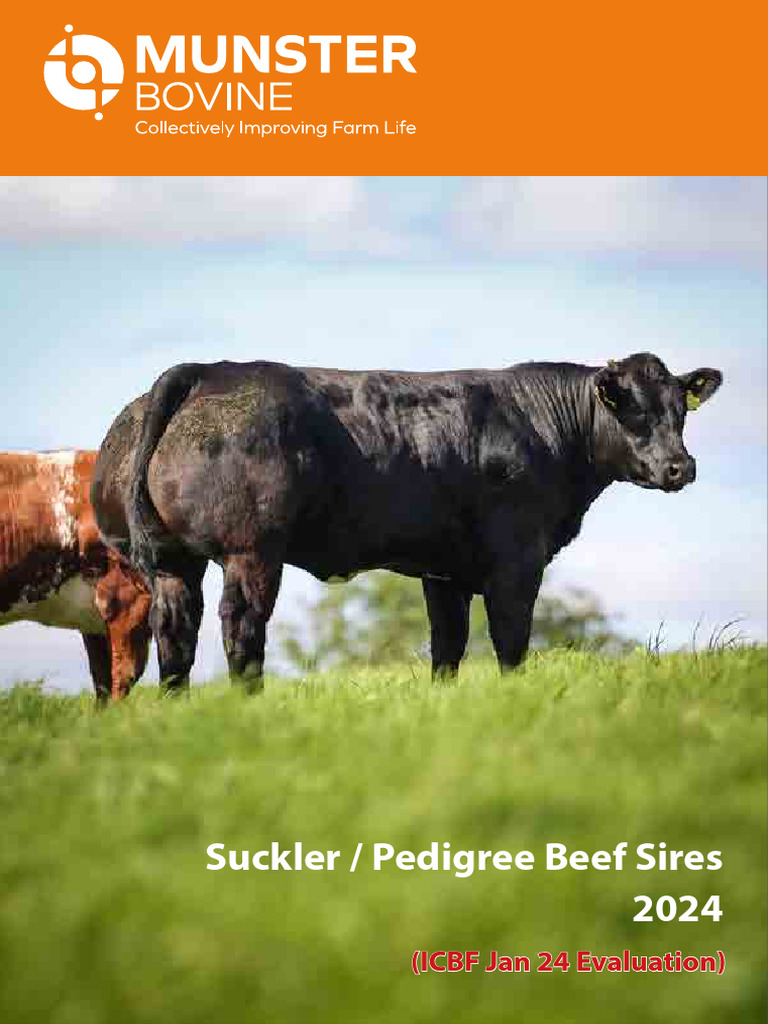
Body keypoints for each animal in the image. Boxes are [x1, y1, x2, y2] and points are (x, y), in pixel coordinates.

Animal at [91, 352, 722, 692]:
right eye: (632, 408)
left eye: (678, 408)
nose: (680, 466)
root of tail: (210, 369)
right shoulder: (517, 556)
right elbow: (510, 638)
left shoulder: (444, 571)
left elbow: (448, 645)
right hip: (252, 550)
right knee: (240, 626)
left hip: (170, 560)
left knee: (175, 629)